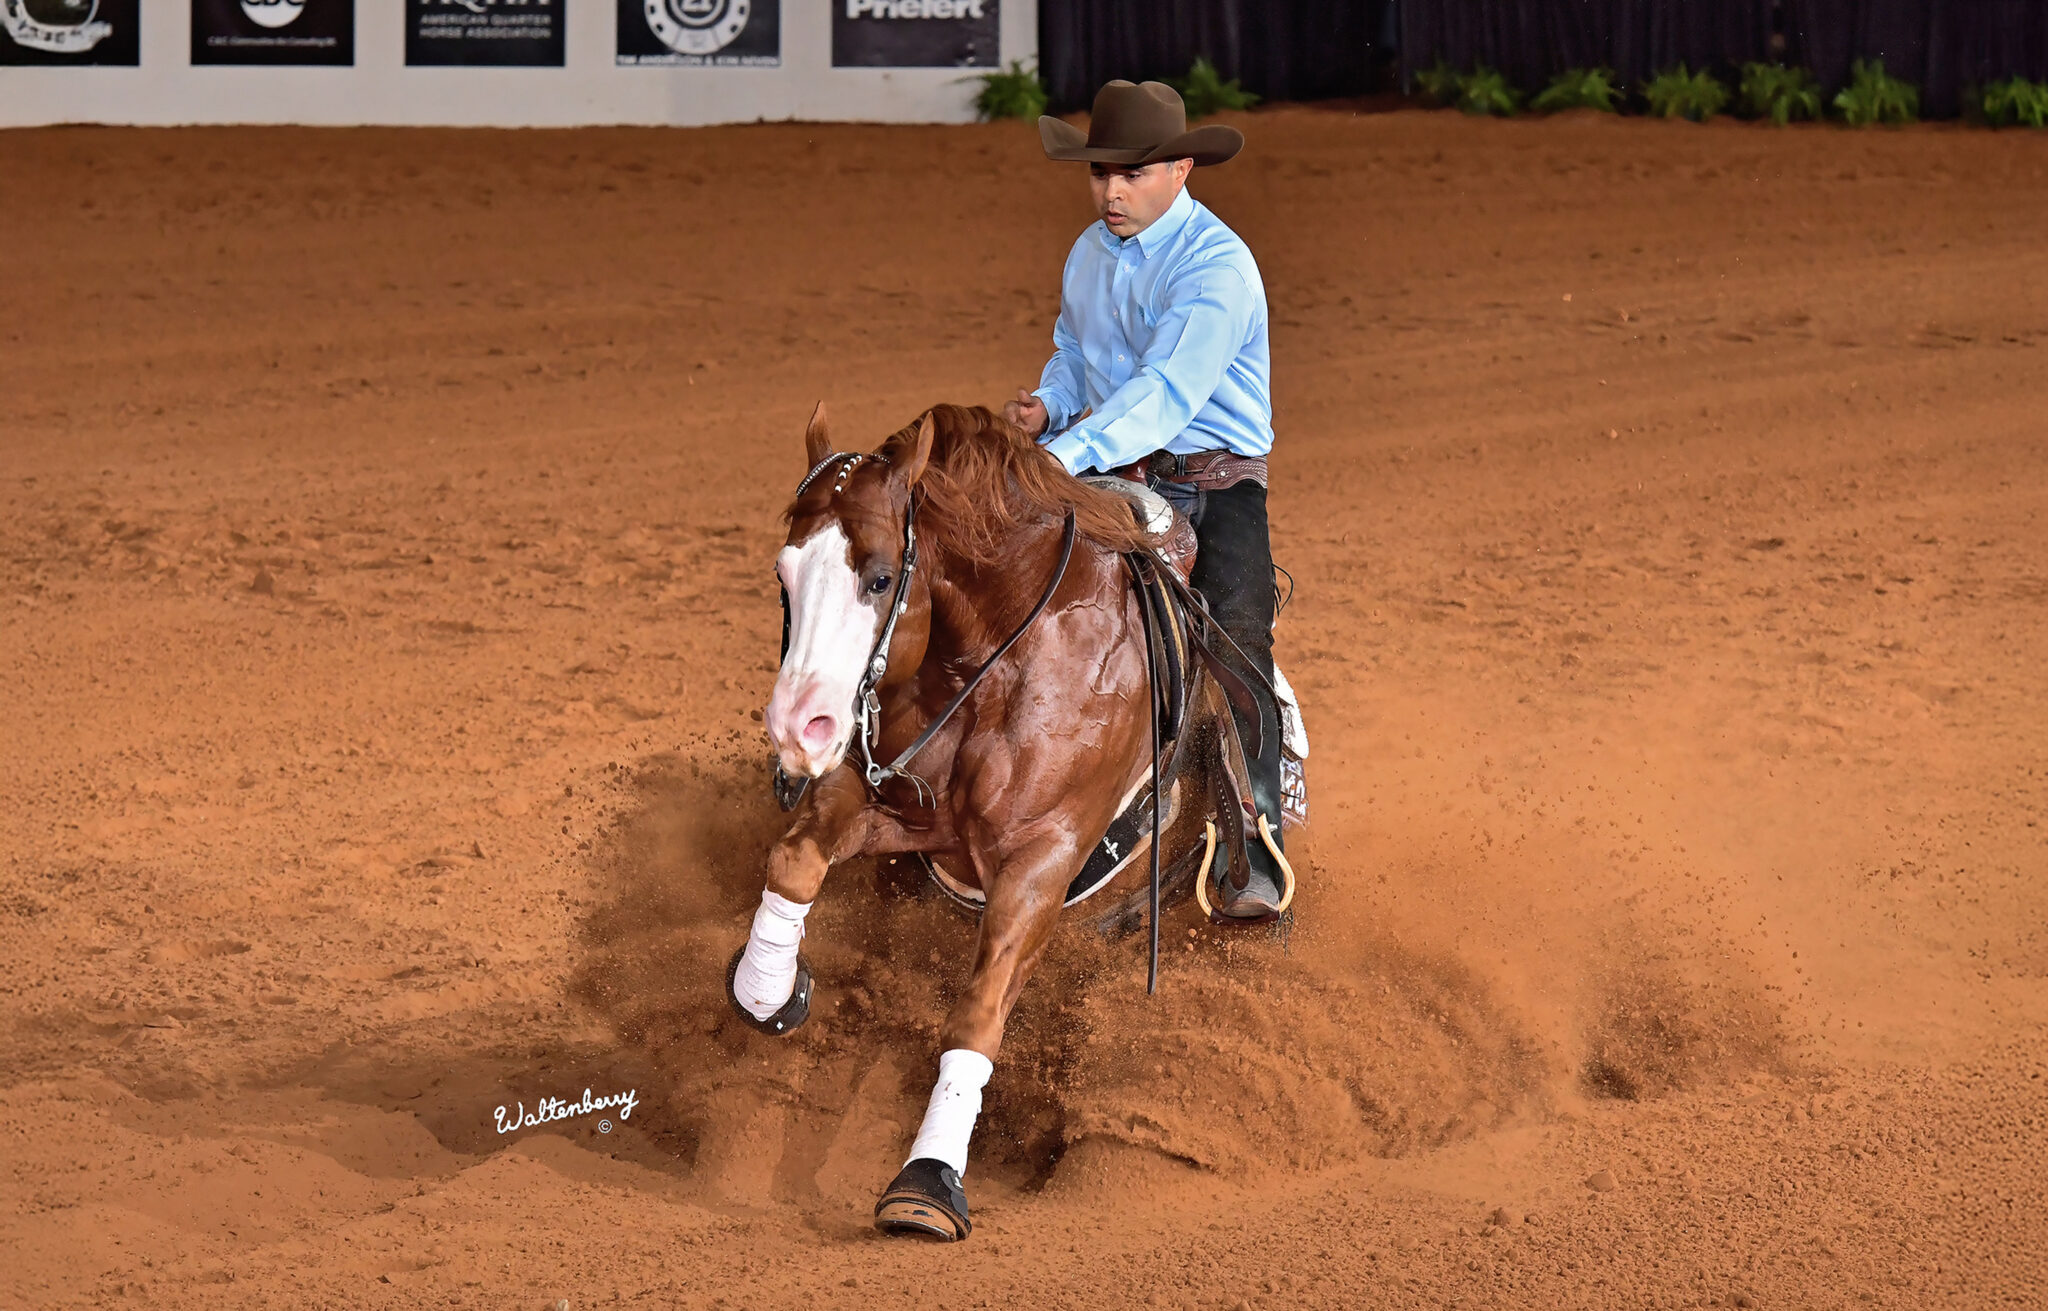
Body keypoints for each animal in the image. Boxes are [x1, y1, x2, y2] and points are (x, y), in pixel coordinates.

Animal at [727, 400, 1289, 1241]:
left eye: (880, 575)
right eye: (782, 572)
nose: (801, 726)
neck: (1001, 658)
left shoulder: (1040, 859)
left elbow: (978, 1012)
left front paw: (927, 1181)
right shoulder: (894, 805)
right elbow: (794, 859)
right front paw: (767, 990)